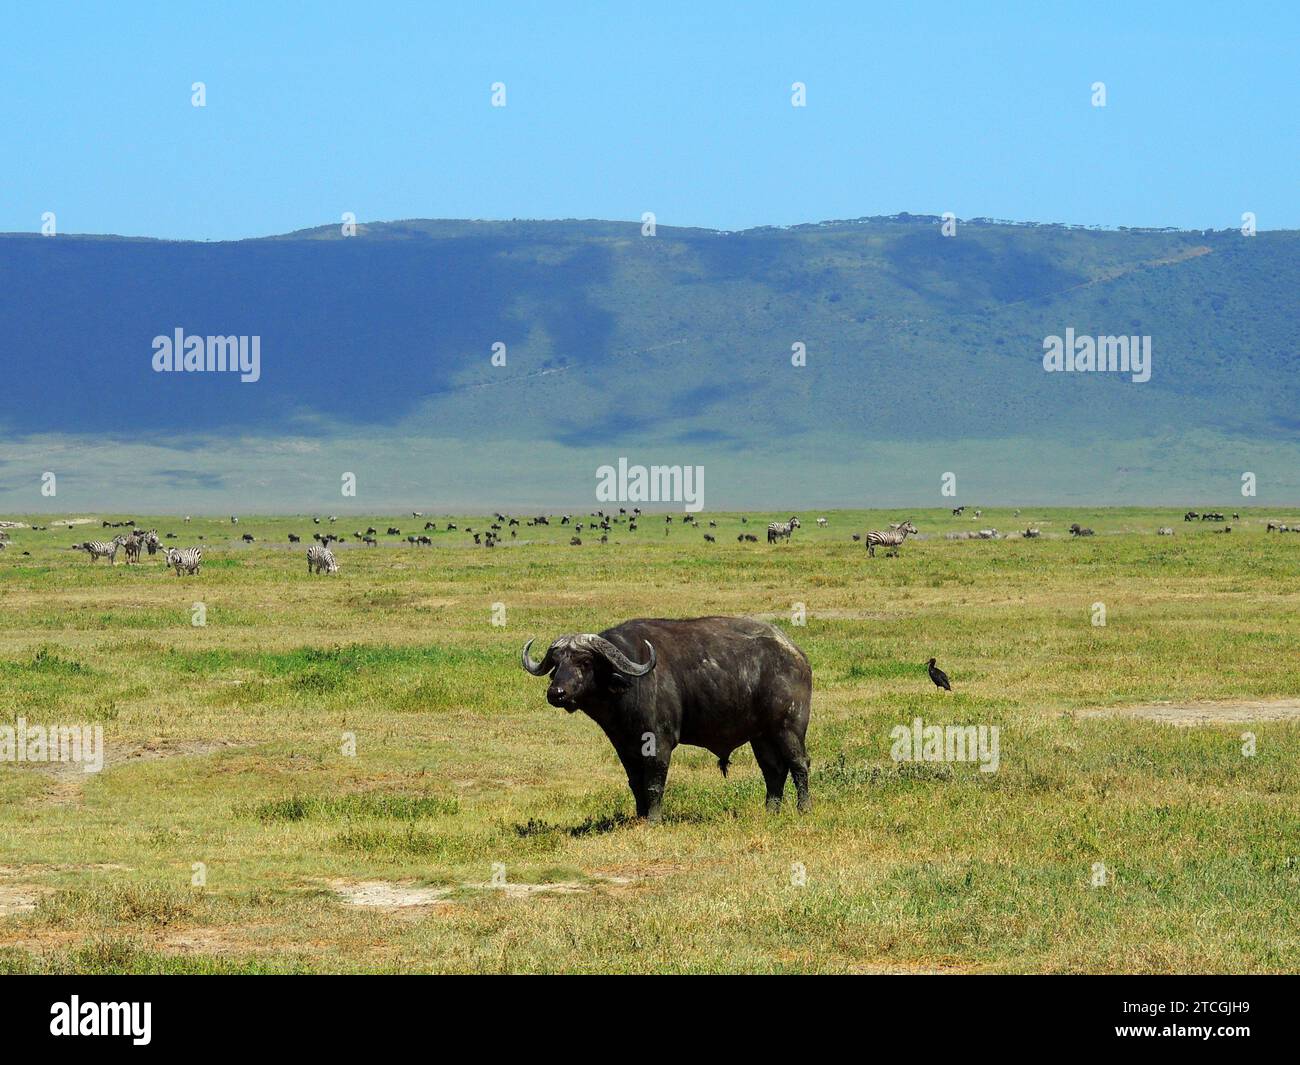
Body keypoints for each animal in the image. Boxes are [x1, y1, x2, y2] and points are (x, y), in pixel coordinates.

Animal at [520, 616, 813, 822]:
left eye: (584, 662)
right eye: (557, 663)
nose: (556, 693)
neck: (629, 686)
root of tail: (797, 655)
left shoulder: (658, 743)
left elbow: (653, 783)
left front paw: (653, 819)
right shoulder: (624, 746)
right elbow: (635, 782)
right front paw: (640, 816)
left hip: (788, 728)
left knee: (799, 764)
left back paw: (803, 808)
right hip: (761, 735)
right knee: (773, 769)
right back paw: (771, 811)